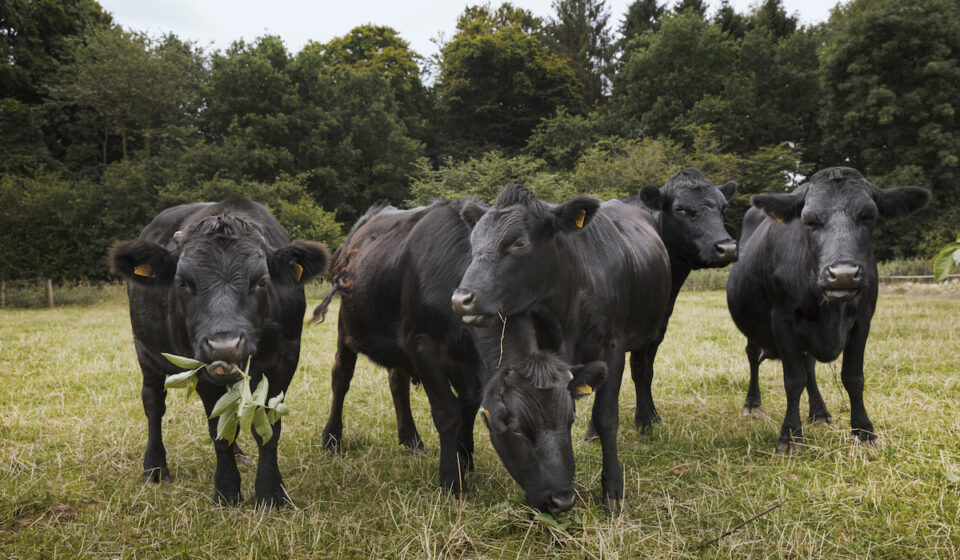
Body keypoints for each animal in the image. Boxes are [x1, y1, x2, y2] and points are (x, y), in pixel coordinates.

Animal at [109, 196, 329, 506]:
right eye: (182, 282)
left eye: (261, 280)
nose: (224, 345)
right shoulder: (199, 366)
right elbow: (217, 432)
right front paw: (226, 490)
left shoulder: (286, 358)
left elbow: (268, 431)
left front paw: (271, 492)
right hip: (145, 353)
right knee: (153, 404)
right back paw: (154, 467)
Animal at [316, 200, 606, 513]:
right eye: (516, 429)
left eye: (570, 420)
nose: (562, 499)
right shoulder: (422, 346)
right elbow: (448, 413)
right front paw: (453, 481)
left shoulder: (469, 363)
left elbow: (468, 406)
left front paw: (464, 459)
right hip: (346, 325)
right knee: (341, 378)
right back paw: (332, 439)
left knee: (397, 382)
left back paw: (411, 440)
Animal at [452, 185, 671, 510]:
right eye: (473, 242)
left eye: (519, 243)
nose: (461, 299)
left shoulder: (613, 346)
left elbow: (607, 416)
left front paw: (613, 490)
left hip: (652, 330)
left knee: (642, 372)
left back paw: (646, 421)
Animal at [726, 167, 930, 452]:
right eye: (809, 220)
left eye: (868, 216)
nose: (843, 274)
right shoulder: (782, 320)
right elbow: (793, 380)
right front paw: (791, 436)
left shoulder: (863, 320)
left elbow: (853, 377)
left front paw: (864, 431)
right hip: (753, 327)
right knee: (753, 356)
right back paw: (753, 404)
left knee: (809, 365)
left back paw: (819, 412)